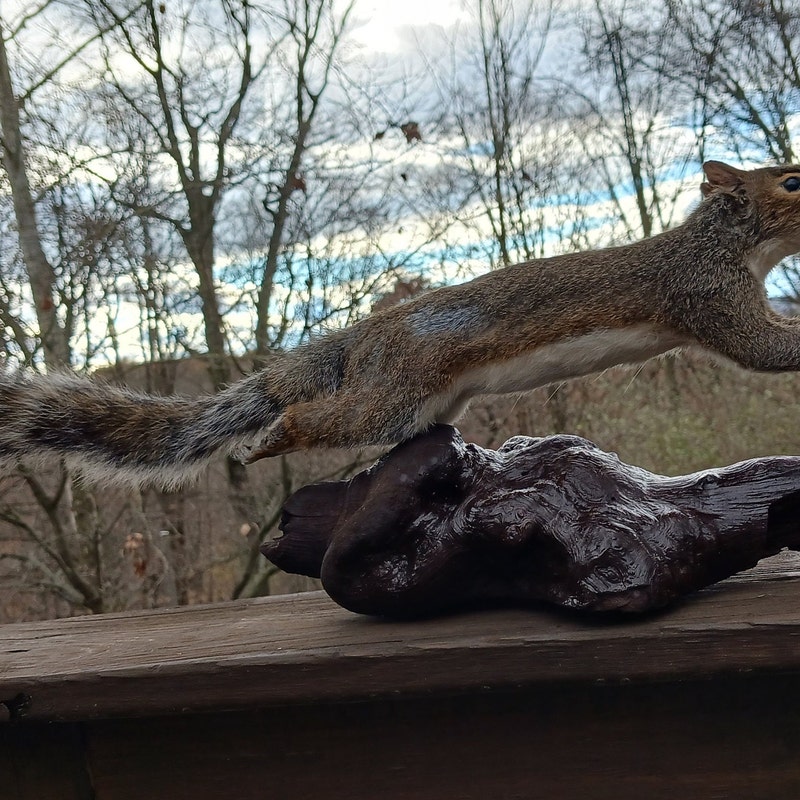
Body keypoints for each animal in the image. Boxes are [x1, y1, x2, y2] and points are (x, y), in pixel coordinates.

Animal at [2, 160, 800, 488]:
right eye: (791, 180)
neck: (727, 242)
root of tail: (363, 338)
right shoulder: (710, 296)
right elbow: (765, 347)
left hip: (420, 407)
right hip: (389, 394)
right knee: (317, 419)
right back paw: (267, 442)